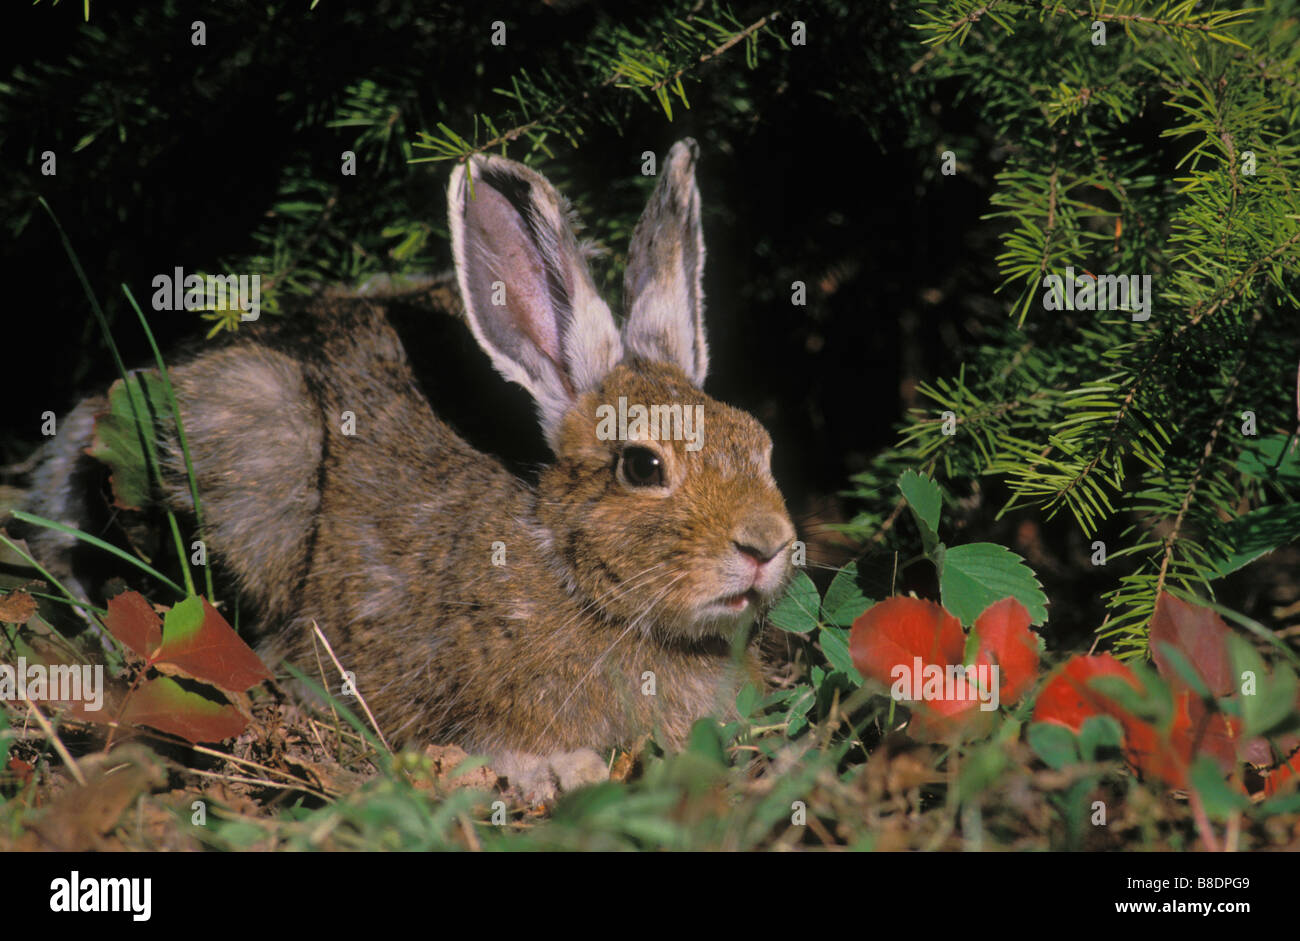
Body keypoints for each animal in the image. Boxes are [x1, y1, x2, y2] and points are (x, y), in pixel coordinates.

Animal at [18, 139, 796, 796]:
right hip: (258, 433)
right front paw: (563, 772)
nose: (766, 546)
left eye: (762, 444)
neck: (571, 569)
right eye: (641, 465)